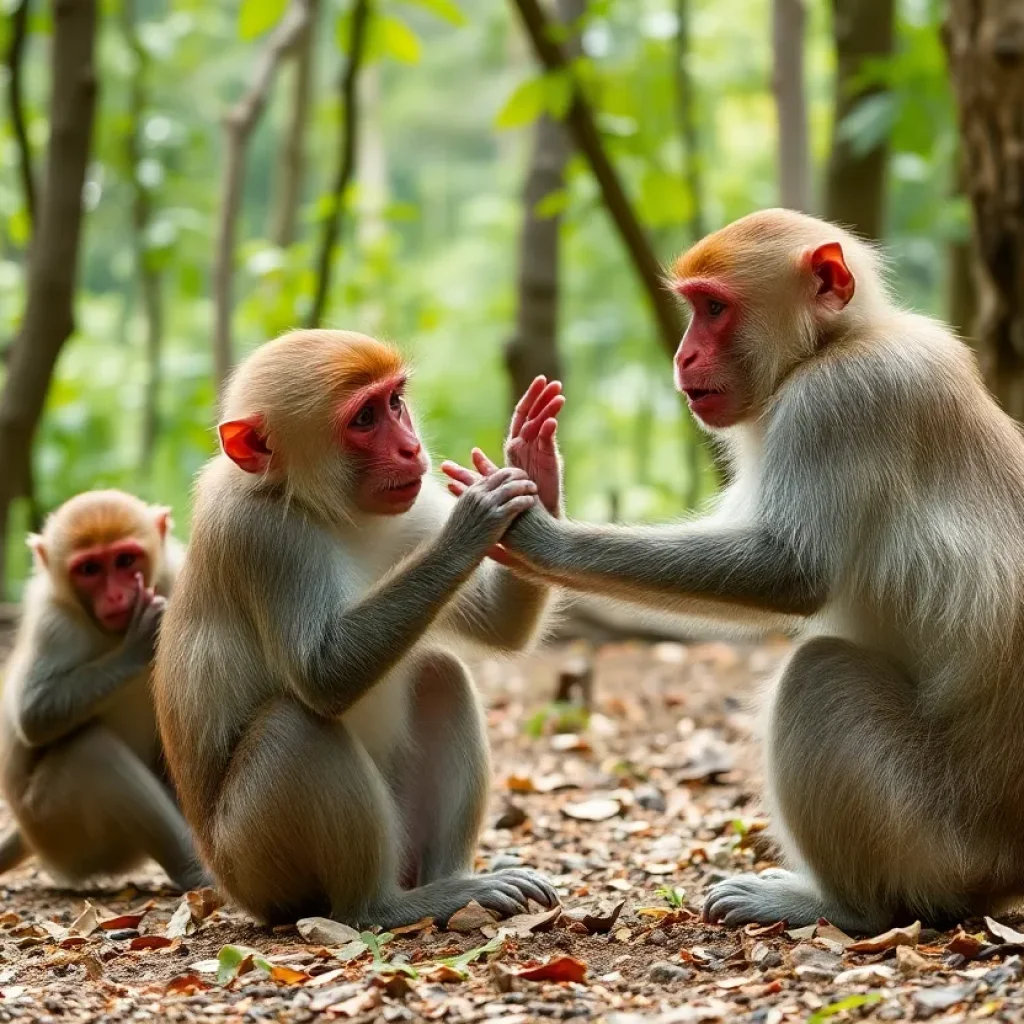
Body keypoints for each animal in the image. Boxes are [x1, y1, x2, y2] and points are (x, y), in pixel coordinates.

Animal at [0, 490, 207, 892]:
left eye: (125, 560)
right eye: (90, 569)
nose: (115, 597)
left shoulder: (179, 580)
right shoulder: (53, 624)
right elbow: (34, 713)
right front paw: (138, 644)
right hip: (58, 828)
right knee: (90, 752)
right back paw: (192, 870)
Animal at [153, 330, 562, 929]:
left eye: (394, 402)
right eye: (364, 419)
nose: (411, 449)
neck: (325, 509)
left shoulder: (412, 510)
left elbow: (499, 624)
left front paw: (534, 461)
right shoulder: (262, 535)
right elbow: (322, 676)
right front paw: (473, 520)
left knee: (439, 675)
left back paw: (454, 882)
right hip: (256, 865)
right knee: (294, 725)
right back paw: (384, 907)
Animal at [443, 207, 1024, 933]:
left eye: (714, 309)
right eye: (693, 309)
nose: (682, 356)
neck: (836, 341)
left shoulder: (840, 400)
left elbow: (788, 571)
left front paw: (540, 534)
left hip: (939, 842)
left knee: (819, 674)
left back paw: (839, 906)